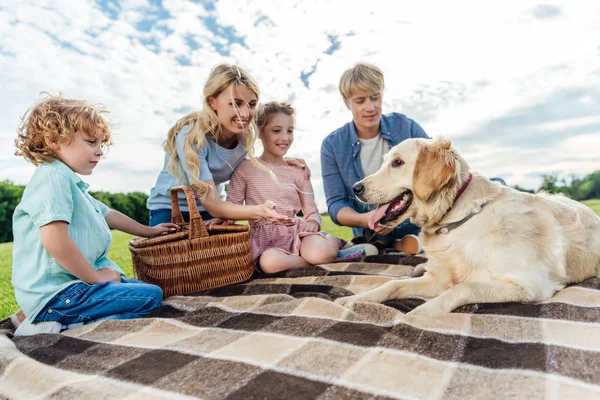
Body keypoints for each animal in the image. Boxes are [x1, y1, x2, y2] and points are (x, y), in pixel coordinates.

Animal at [336, 138, 600, 316]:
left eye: (398, 162)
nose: (355, 188)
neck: (453, 220)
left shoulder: (530, 284)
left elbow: (461, 288)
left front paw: (415, 315)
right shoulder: (437, 279)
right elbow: (393, 284)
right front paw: (357, 299)